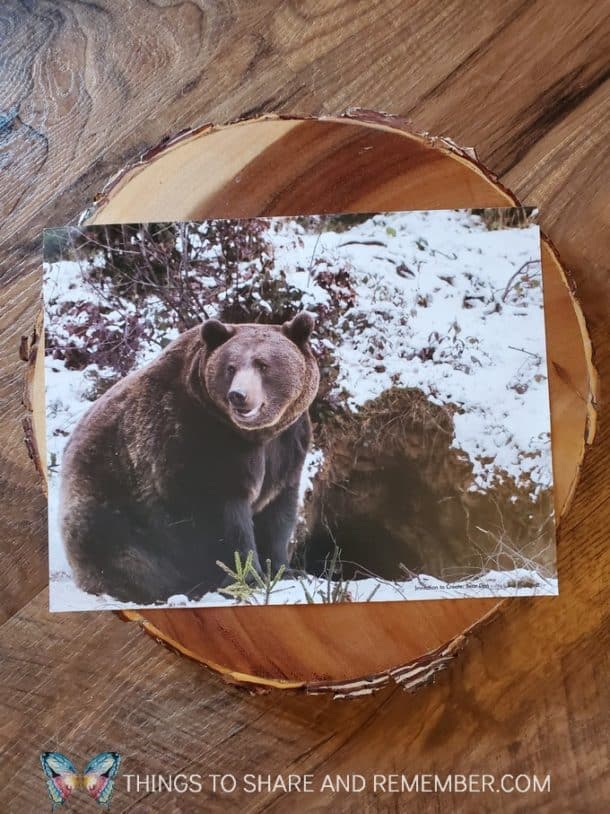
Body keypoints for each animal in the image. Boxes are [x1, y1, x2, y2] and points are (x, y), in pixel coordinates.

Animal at [59, 312, 320, 605]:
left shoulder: (287, 446)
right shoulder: (191, 441)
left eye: (263, 365)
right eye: (230, 367)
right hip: (111, 511)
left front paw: (285, 571)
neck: (254, 435)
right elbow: (220, 517)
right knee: (127, 556)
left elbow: (278, 513)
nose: (238, 395)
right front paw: (246, 576)